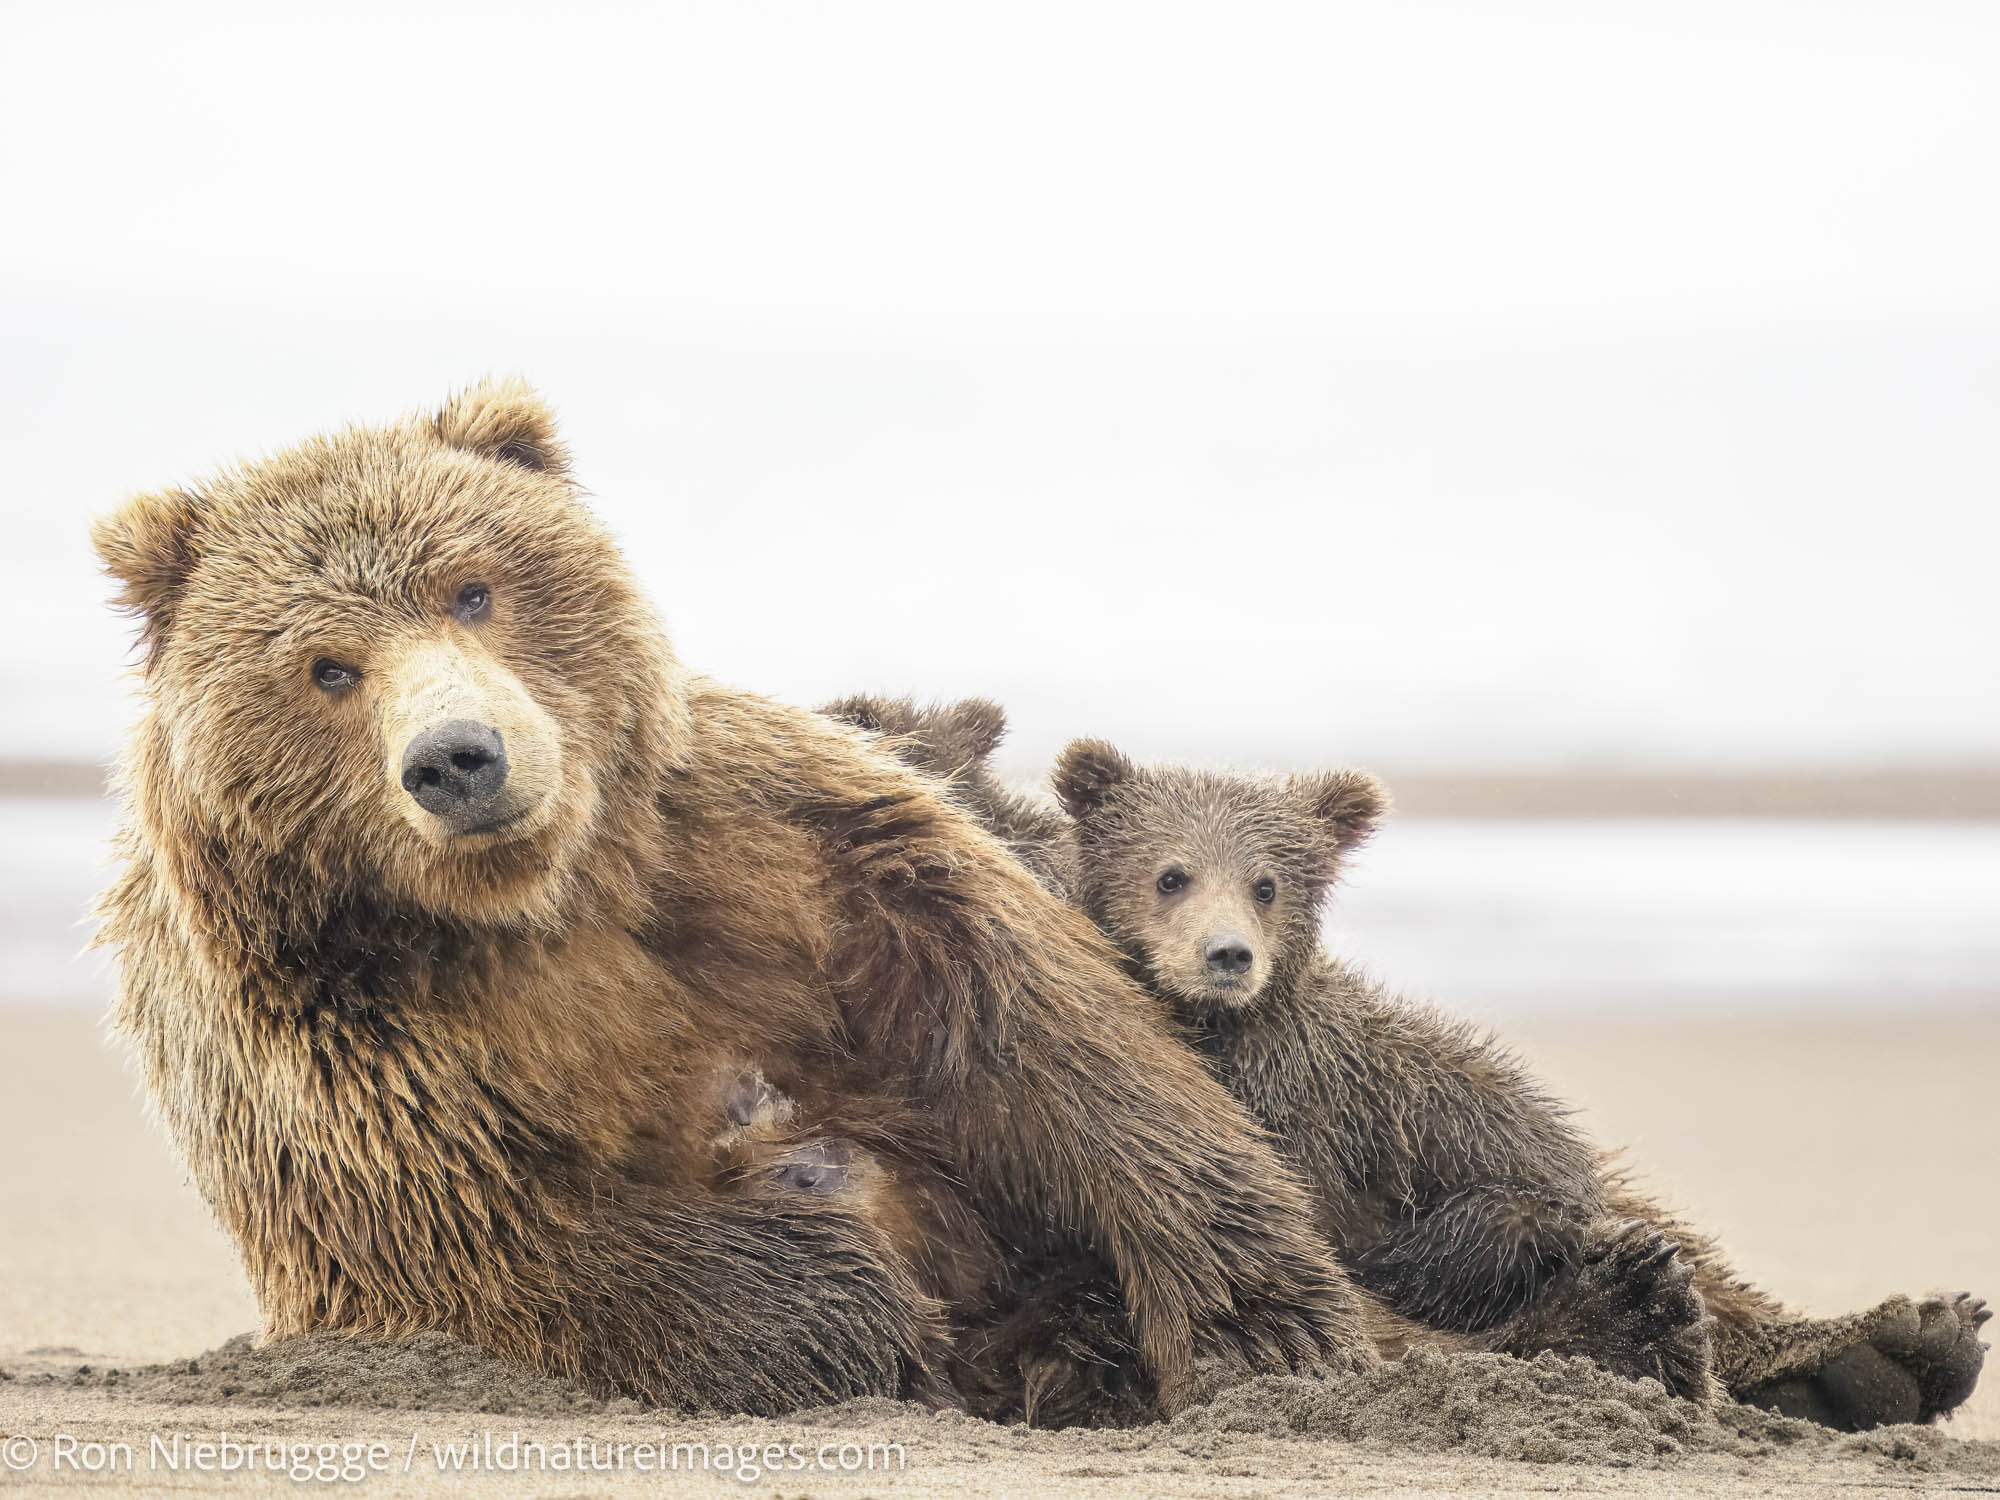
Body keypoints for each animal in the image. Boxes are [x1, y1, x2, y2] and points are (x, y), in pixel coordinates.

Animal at [87, 381, 1373, 1424]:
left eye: (473, 589)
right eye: (326, 667)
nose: (457, 757)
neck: (549, 902)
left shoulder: (791, 860)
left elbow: (1056, 1050)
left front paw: (1268, 1331)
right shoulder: (348, 1064)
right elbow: (532, 1247)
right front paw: (860, 1295)